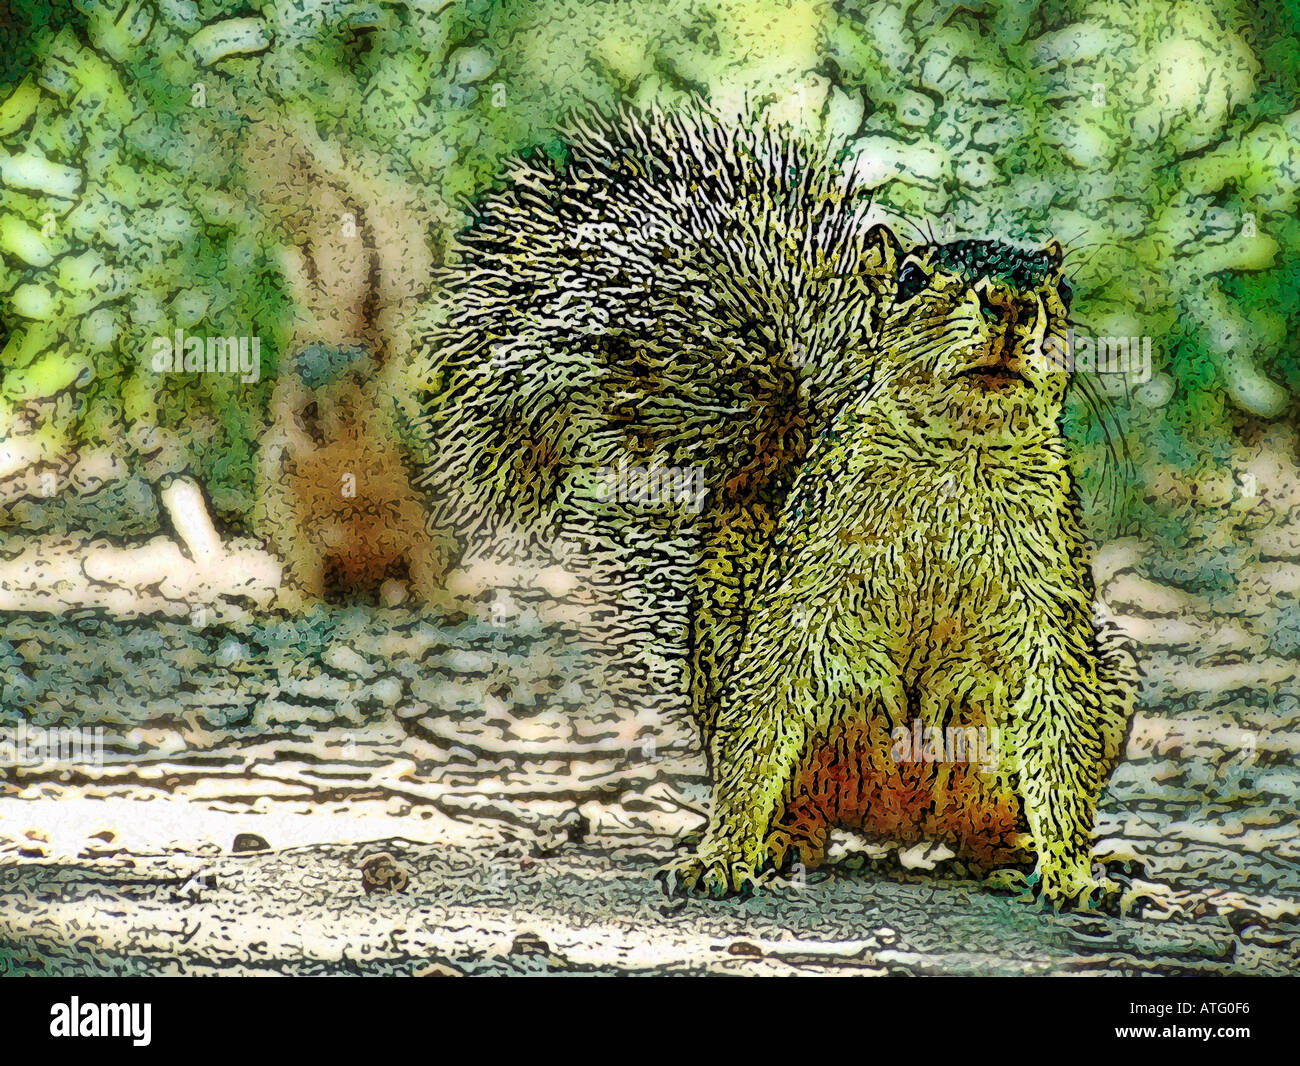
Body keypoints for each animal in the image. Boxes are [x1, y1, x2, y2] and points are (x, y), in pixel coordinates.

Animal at [409, 103, 1138, 909]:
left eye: (1060, 288)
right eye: (913, 276)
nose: (1012, 306)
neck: (957, 455)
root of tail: (897, 823)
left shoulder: (1049, 600)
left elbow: (1060, 729)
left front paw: (1075, 873)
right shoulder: (808, 588)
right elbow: (766, 707)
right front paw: (719, 854)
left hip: (1094, 690)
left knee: (990, 816)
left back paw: (1021, 853)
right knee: (791, 795)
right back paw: (776, 842)